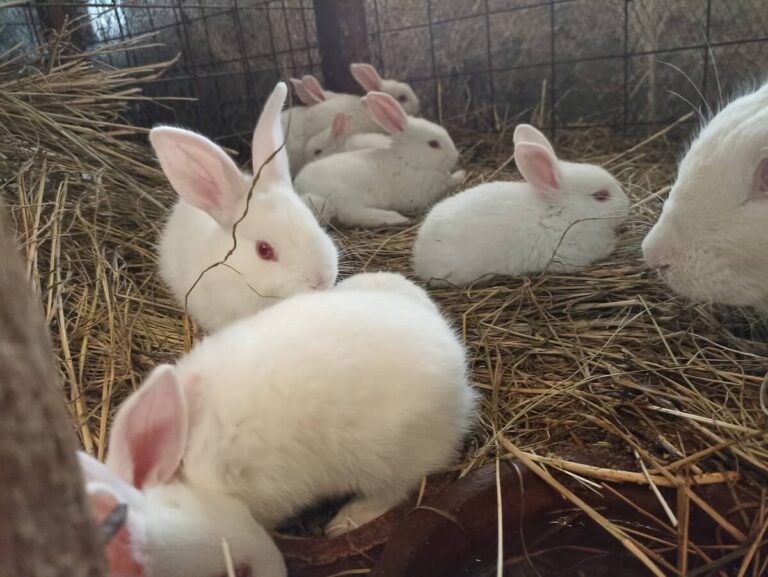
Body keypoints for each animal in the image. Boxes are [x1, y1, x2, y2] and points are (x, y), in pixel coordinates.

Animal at [295, 92, 465, 228]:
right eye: (433, 144)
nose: (455, 156)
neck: (406, 160)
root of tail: (300, 187)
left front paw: (460, 173)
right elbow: (450, 182)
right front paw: (461, 174)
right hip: (343, 198)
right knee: (351, 215)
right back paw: (395, 218)